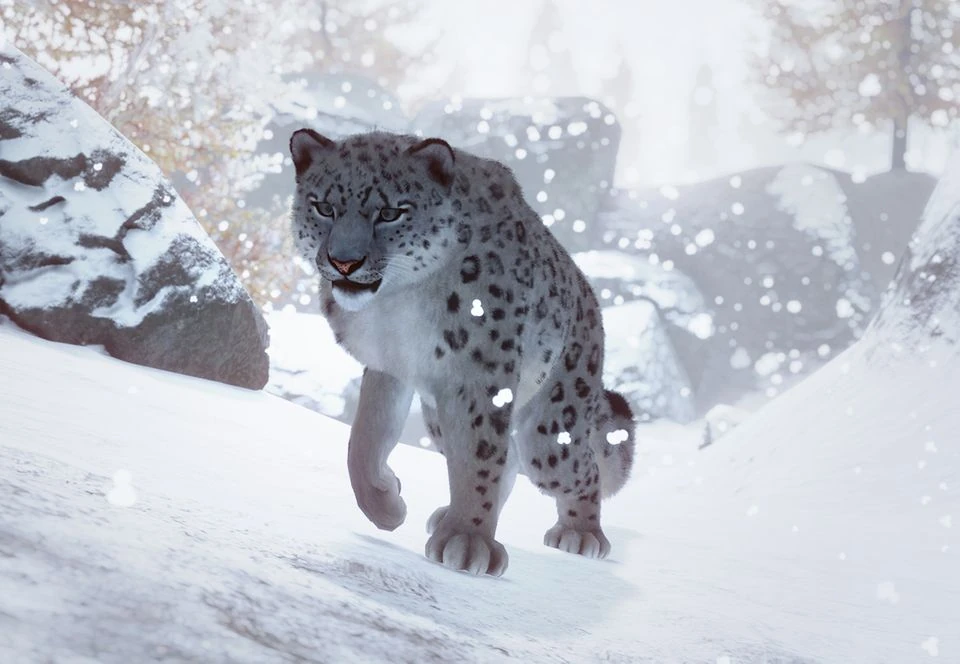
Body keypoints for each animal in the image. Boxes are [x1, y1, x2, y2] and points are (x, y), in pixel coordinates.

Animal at [289, 128, 636, 577]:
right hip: (438, 418)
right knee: (508, 460)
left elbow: (477, 455)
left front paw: (469, 542)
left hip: (550, 430)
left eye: (391, 212)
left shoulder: (480, 374)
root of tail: (590, 301)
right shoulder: (391, 365)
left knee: (579, 467)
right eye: (324, 207)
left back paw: (581, 534)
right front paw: (386, 505)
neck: (396, 305)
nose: (344, 262)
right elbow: (366, 437)